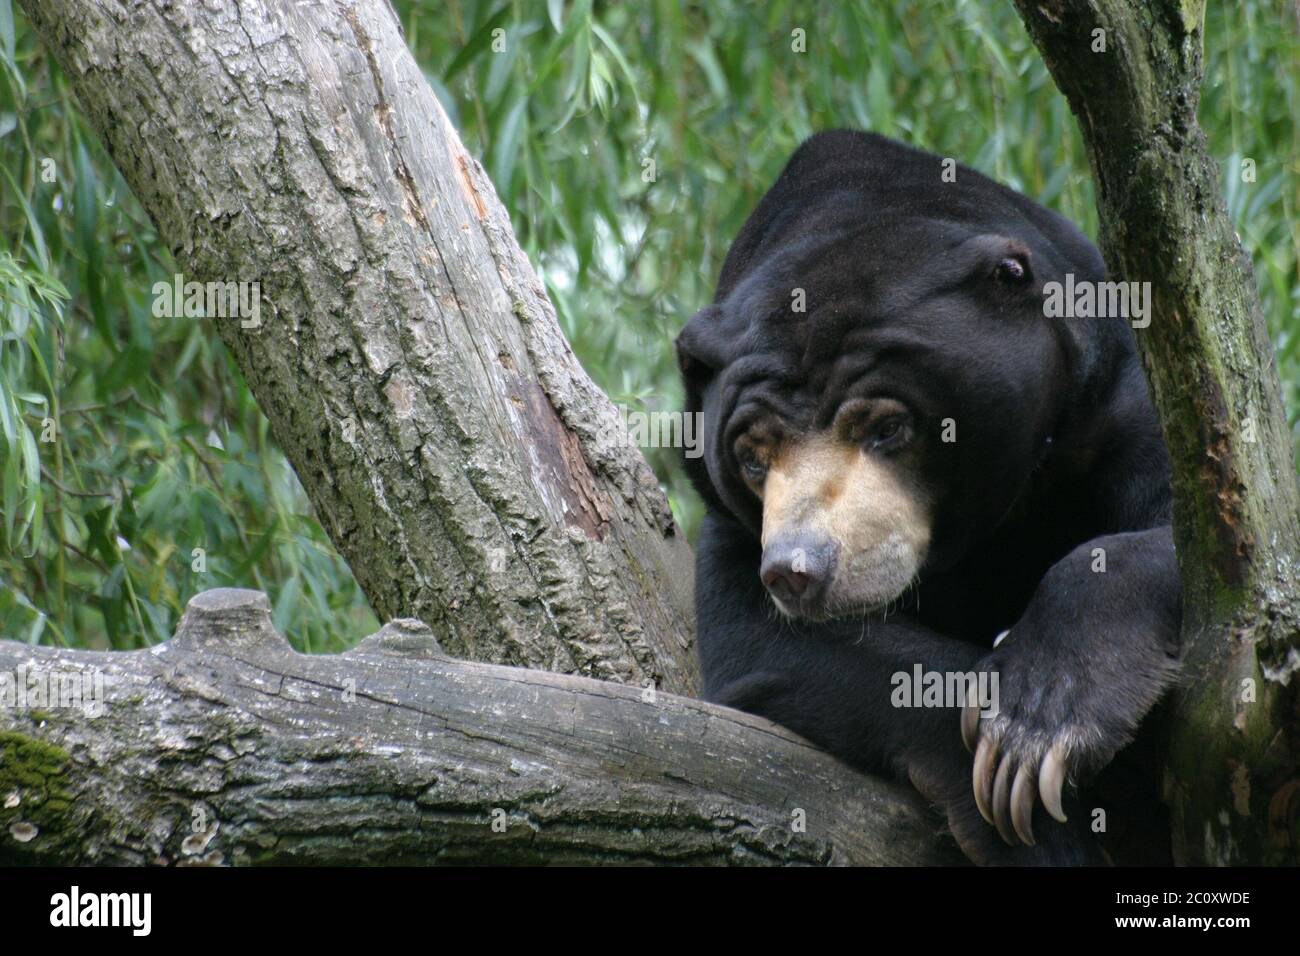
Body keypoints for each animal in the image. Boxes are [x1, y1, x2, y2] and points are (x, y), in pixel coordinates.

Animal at [676, 129, 1183, 865]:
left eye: (887, 428)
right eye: (751, 456)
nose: (797, 572)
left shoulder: (1115, 393)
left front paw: (1042, 717)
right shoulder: (734, 524)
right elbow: (756, 635)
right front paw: (1027, 803)